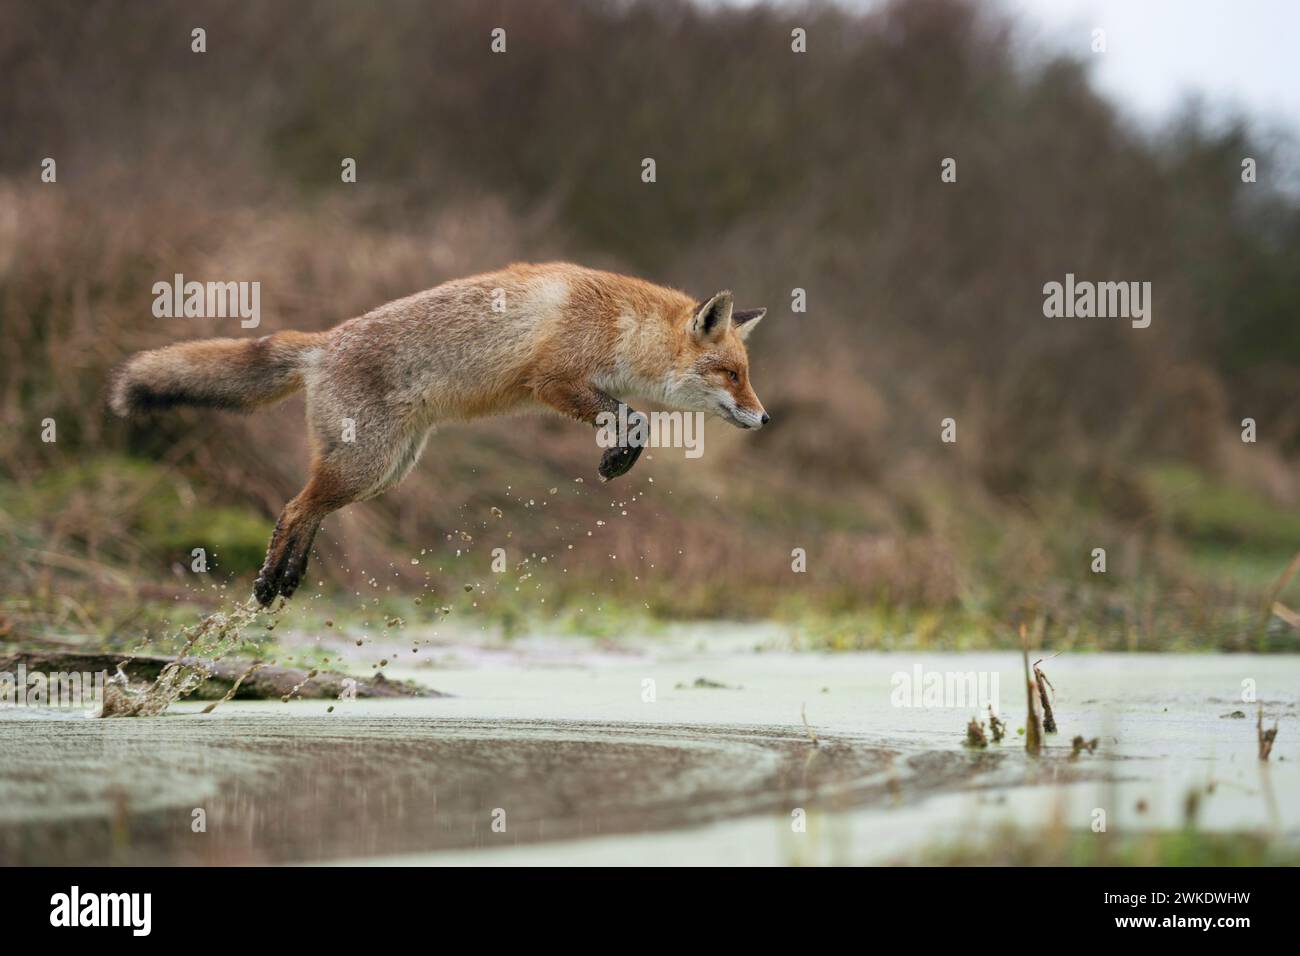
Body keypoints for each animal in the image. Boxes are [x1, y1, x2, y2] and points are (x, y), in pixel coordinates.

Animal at [109, 262, 770, 607]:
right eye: (732, 375)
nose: (764, 419)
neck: (619, 324)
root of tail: (323, 343)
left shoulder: (571, 386)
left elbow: (632, 418)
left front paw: (618, 458)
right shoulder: (553, 380)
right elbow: (634, 418)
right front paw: (617, 460)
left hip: (382, 471)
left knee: (309, 509)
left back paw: (291, 576)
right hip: (366, 465)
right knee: (294, 507)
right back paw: (270, 581)